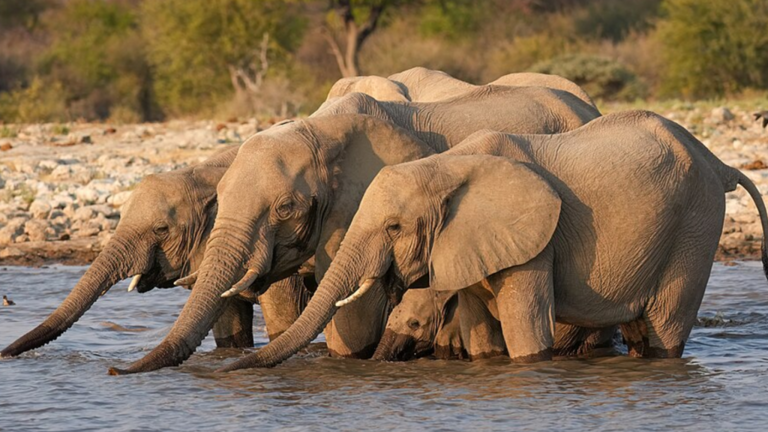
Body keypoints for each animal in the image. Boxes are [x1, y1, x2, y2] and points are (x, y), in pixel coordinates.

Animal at [216, 110, 768, 371]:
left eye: (394, 228)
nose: (231, 370)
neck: (445, 166)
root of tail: (716, 161)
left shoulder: (536, 239)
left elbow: (526, 329)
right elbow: (481, 333)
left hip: (695, 227)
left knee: (663, 329)